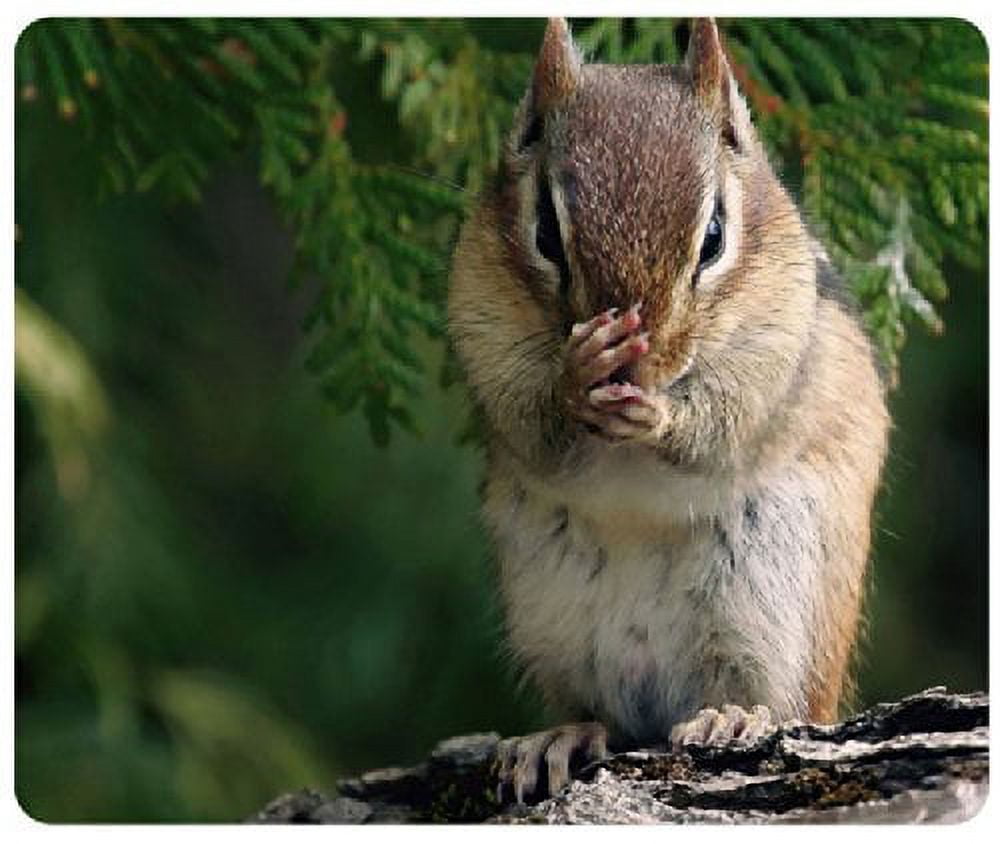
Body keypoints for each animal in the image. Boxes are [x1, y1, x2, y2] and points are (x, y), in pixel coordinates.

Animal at [447, 18, 889, 803]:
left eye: (713, 236)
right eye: (546, 234)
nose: (635, 364)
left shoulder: (777, 348)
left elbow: (727, 423)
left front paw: (658, 415)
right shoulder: (480, 325)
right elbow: (529, 418)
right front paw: (578, 378)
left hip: (776, 599)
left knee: (778, 701)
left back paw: (731, 717)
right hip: (550, 609)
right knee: (601, 711)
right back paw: (563, 736)